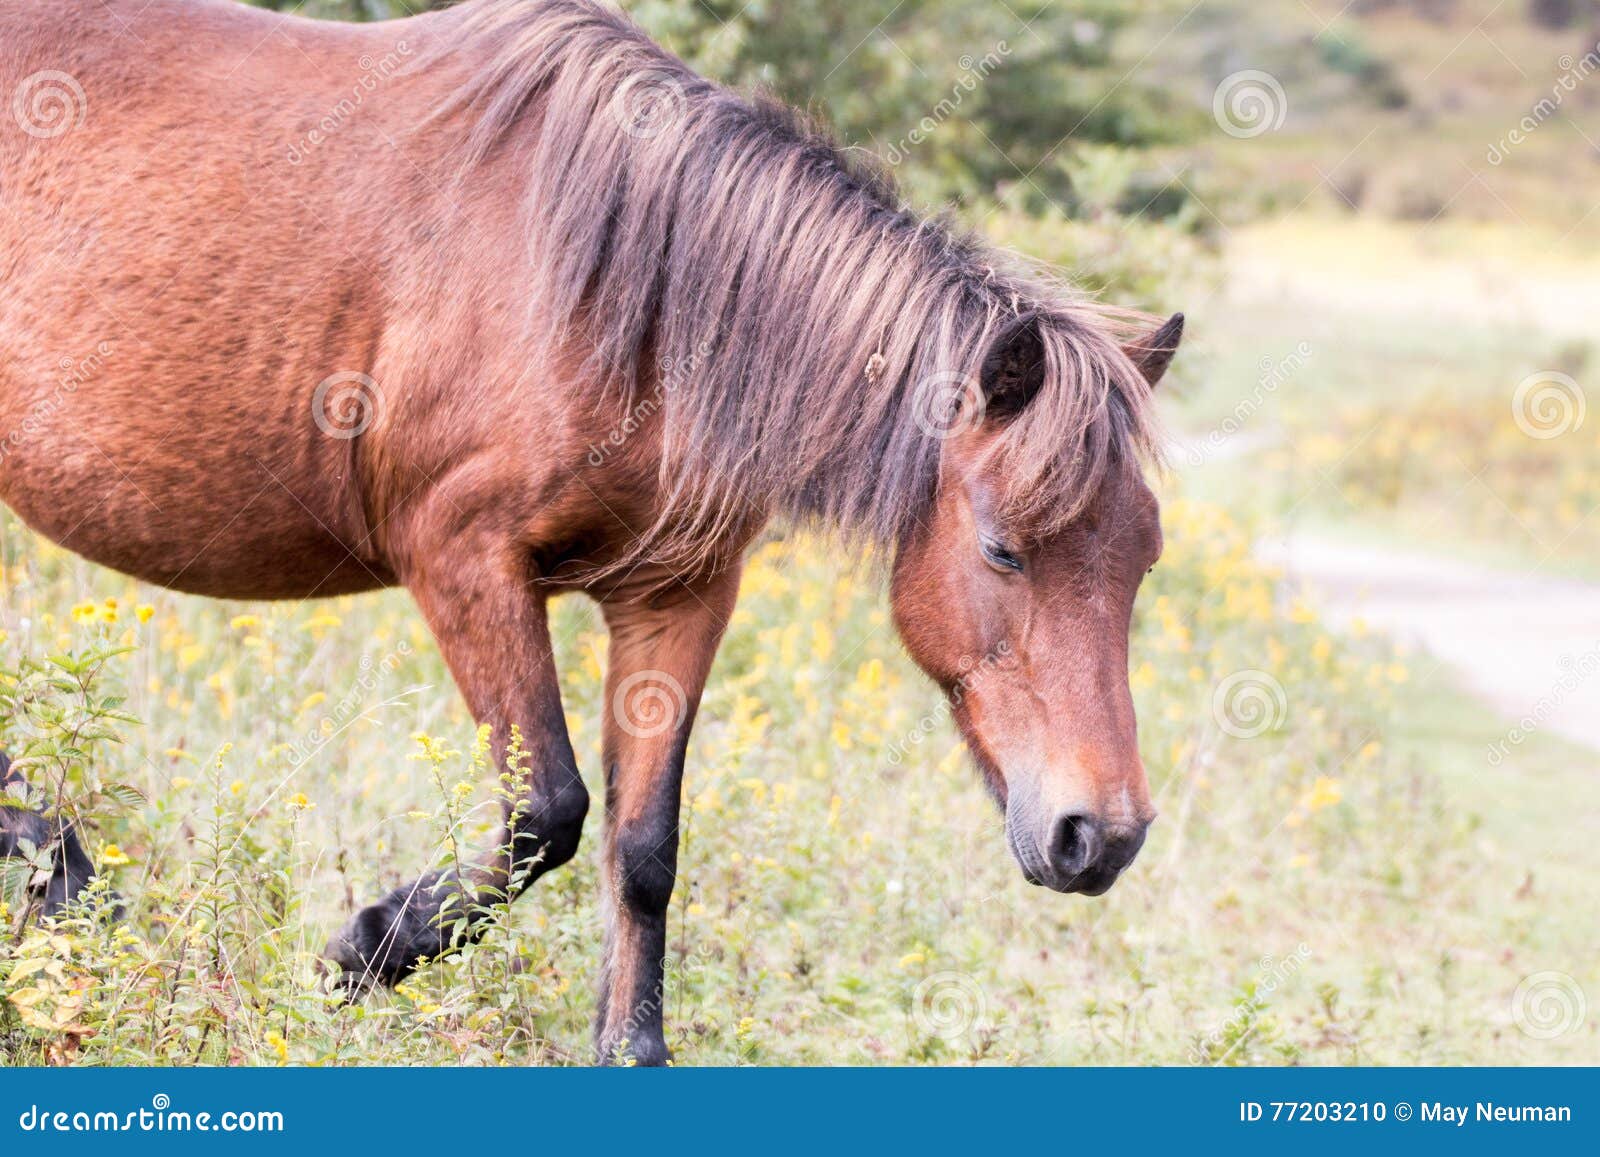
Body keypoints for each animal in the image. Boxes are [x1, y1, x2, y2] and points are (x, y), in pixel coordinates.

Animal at [0, 0, 1183, 1064]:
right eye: (1003, 548)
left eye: (1142, 566)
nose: (1103, 835)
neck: (626, 286)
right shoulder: (465, 564)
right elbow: (546, 812)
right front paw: (356, 951)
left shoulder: (677, 595)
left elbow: (641, 845)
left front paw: (629, 1043)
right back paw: (71, 889)